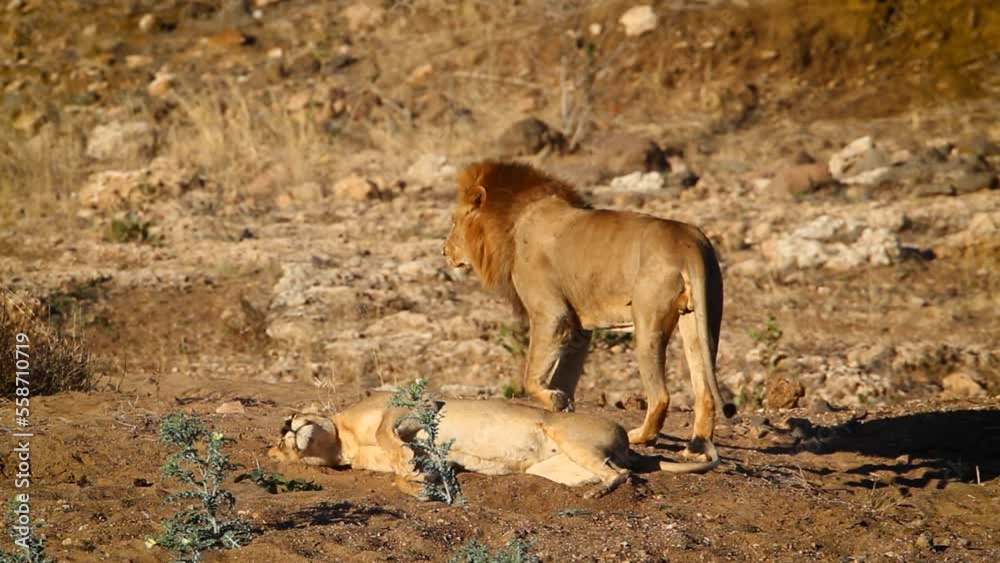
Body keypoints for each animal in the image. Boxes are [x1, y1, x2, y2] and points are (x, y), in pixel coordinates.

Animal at [442, 161, 735, 459]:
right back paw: (696, 447)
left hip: (648, 324)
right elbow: (566, 376)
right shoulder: (578, 328)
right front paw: (564, 410)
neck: (514, 219)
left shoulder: (552, 313)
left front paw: (555, 401)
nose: (444, 252)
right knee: (705, 391)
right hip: (701, 320)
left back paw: (641, 436)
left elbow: (530, 376)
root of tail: (688, 243)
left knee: (661, 396)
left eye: (453, 222)